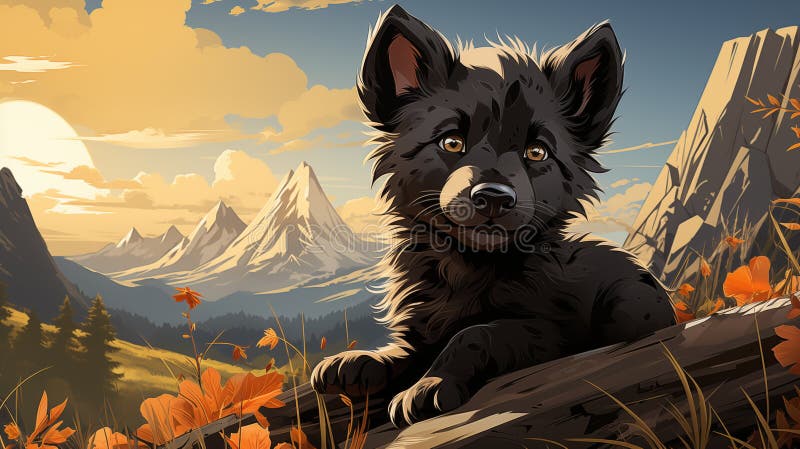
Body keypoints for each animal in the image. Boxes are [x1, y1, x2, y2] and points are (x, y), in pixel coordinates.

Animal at [311, 5, 676, 427]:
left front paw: (430, 384)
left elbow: (475, 334)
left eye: (537, 152)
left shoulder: (548, 330)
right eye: (452, 142)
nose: (493, 198)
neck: (467, 268)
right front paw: (358, 362)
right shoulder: (422, 328)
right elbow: (402, 352)